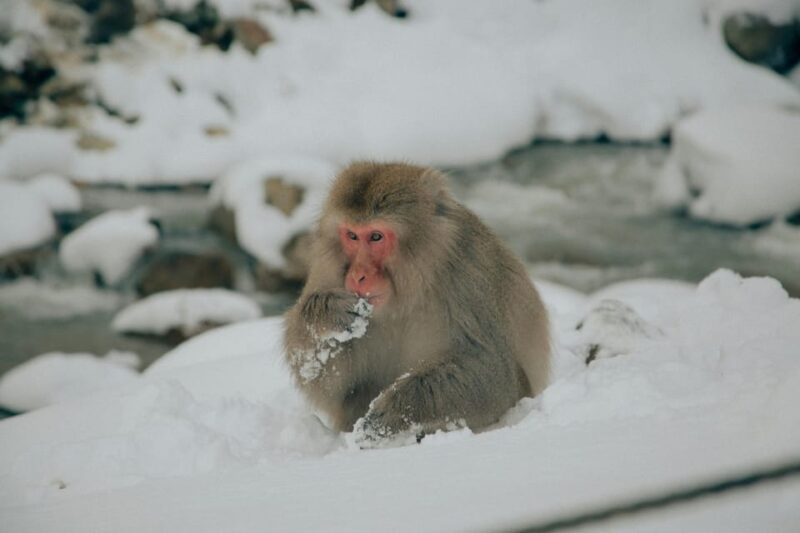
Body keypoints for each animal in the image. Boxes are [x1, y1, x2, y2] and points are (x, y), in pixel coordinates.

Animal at [283, 162, 550, 446]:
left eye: (375, 237)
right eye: (353, 236)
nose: (357, 276)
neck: (408, 290)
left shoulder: (470, 272)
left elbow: (494, 372)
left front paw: (395, 412)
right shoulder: (329, 270)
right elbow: (332, 387)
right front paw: (327, 316)